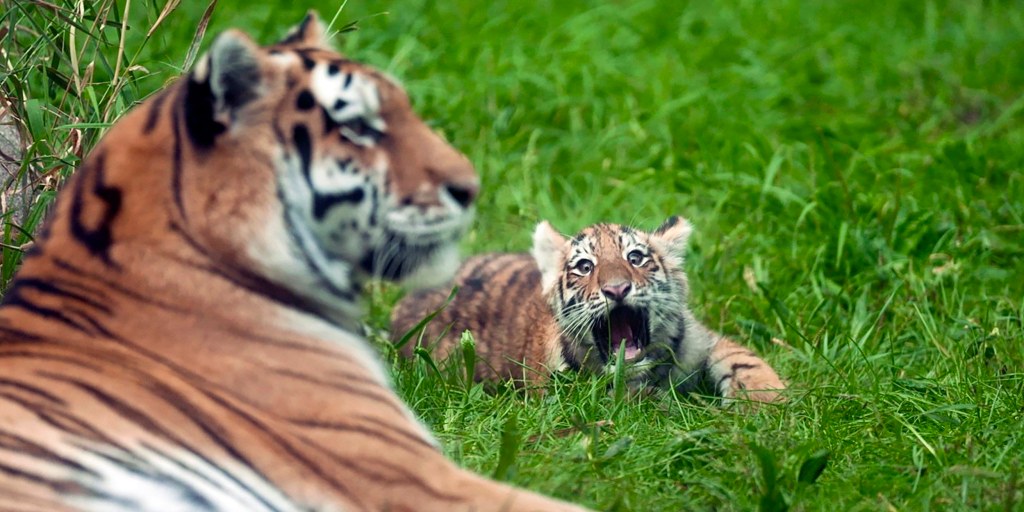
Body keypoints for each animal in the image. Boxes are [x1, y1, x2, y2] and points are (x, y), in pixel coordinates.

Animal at [391, 217, 786, 404]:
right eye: (584, 267)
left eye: (635, 258)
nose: (617, 289)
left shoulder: (703, 338)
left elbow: (745, 361)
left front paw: (765, 404)